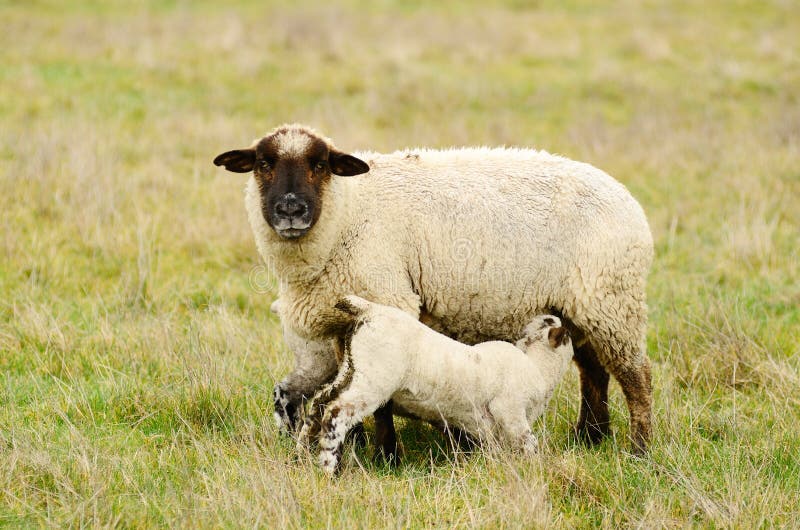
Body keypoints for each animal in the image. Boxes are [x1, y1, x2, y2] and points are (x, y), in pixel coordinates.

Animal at [213, 123, 654, 455]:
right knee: (594, 371)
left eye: (320, 164)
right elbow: (345, 381)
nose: (290, 210)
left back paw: (638, 449)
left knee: (637, 377)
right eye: (263, 163)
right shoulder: (341, 324)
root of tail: (628, 199)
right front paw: (353, 444)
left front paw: (385, 455)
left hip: (613, 301)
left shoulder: (389, 299)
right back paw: (590, 438)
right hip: (579, 306)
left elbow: (380, 398)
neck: (348, 211)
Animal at [297, 296, 575, 475]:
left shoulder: (487, 429)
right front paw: (537, 467)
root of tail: (369, 309)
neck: (537, 367)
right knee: (336, 412)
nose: (555, 314)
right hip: (375, 379)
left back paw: (302, 454)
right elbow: (529, 443)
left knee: (319, 403)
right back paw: (329, 470)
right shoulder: (510, 411)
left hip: (352, 368)